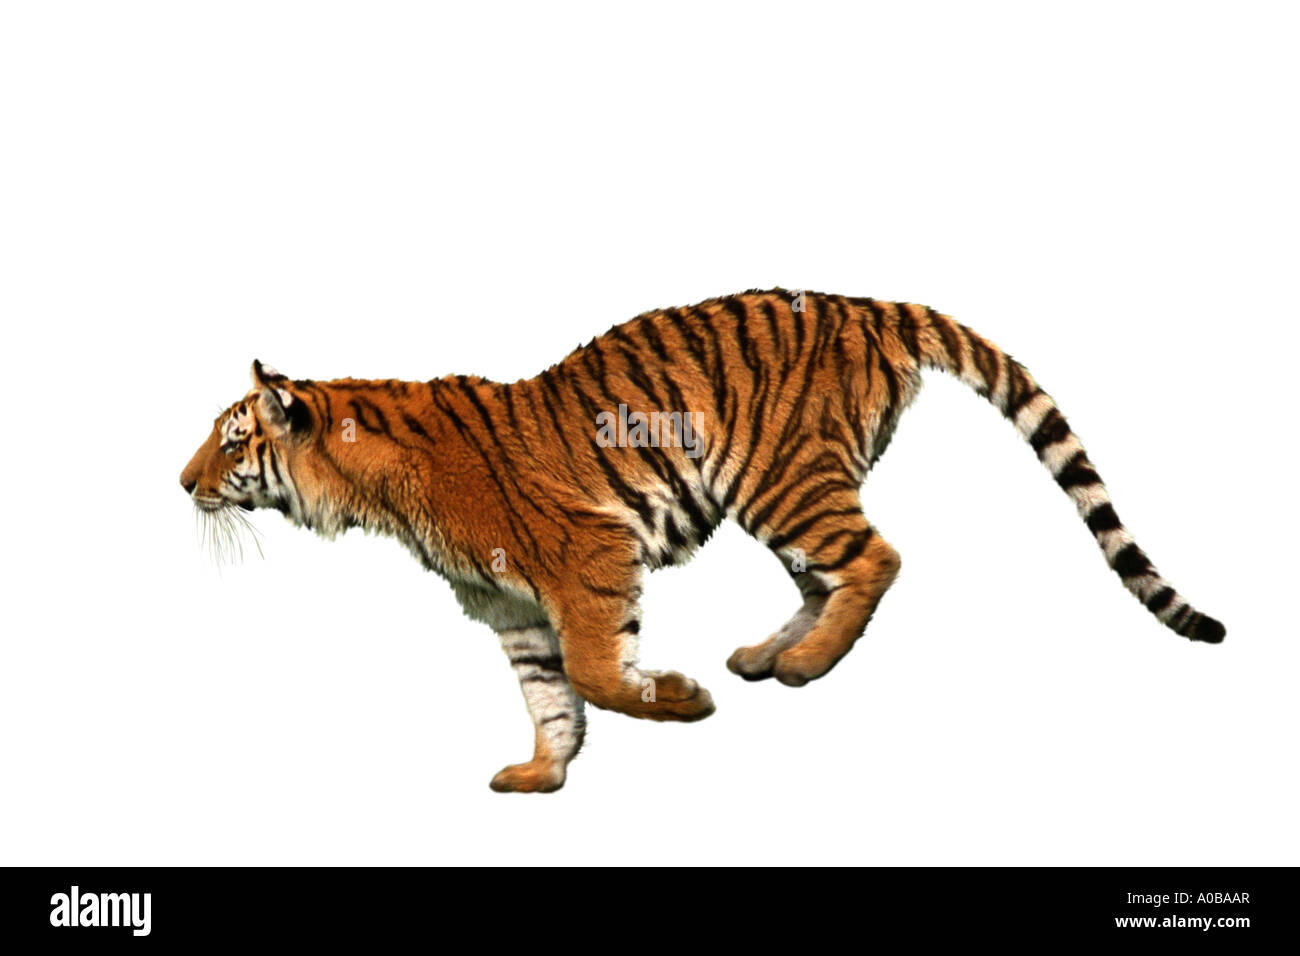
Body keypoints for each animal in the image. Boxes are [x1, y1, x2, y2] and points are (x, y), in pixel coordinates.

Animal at [180, 289, 1224, 792]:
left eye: (232, 440)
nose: (181, 484)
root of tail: (867, 305)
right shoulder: (512, 607)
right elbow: (552, 697)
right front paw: (541, 776)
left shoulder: (586, 557)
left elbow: (597, 672)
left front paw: (678, 702)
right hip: (792, 493)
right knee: (828, 577)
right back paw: (769, 655)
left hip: (782, 478)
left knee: (878, 559)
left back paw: (799, 668)